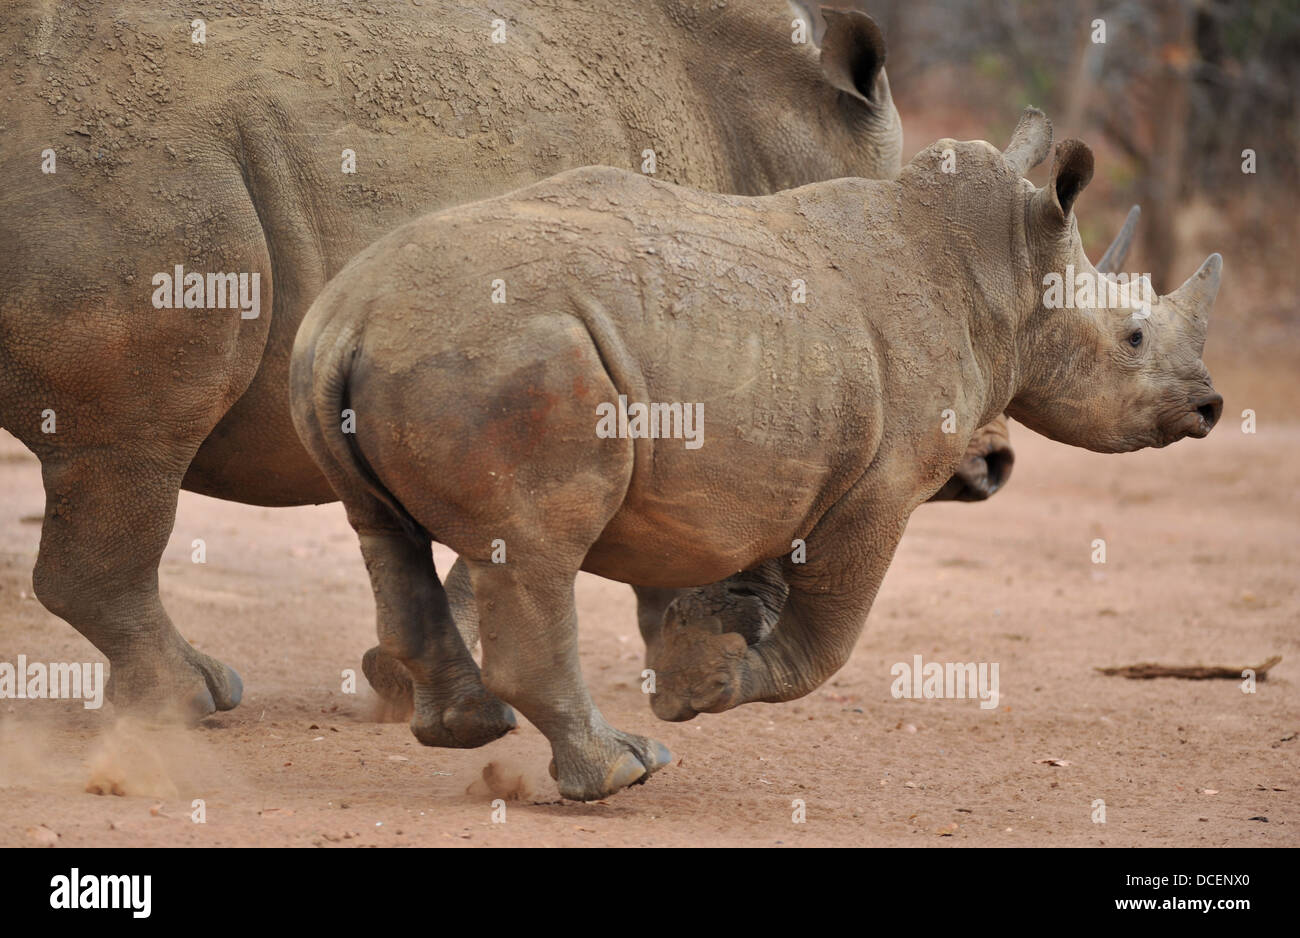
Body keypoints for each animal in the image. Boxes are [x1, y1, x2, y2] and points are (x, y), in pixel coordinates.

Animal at [288, 107, 1222, 800]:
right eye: (1134, 338)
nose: (1211, 406)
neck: (1011, 284)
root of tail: (352, 315)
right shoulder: (883, 485)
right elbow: (830, 636)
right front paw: (700, 688)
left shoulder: (774, 459)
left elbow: (745, 572)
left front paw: (696, 646)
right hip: (515, 358)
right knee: (535, 551)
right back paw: (623, 771)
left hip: (360, 354)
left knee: (387, 533)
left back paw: (467, 729)